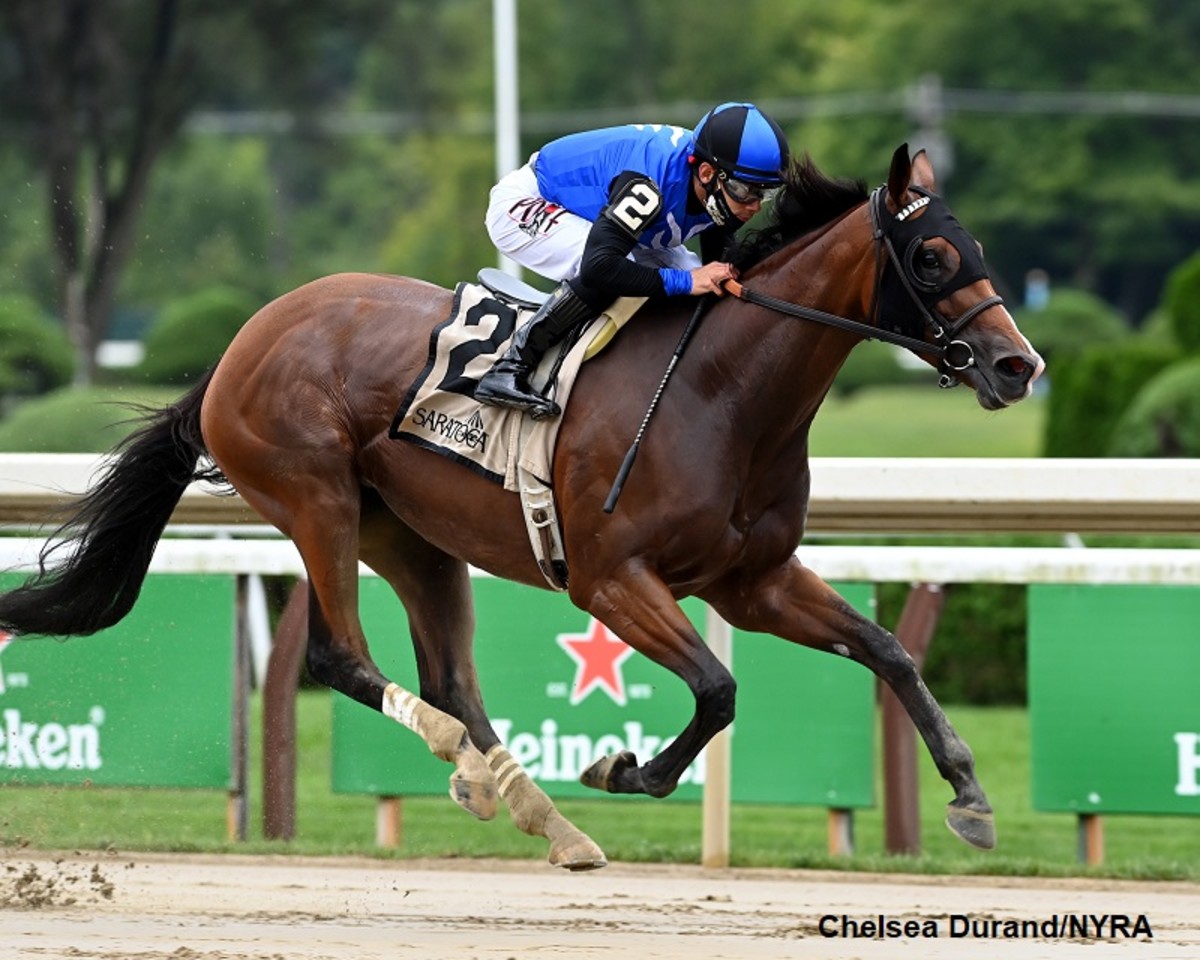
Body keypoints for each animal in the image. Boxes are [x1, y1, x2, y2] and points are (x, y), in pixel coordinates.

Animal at [0, 144, 1041, 870]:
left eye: (981, 247)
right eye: (933, 254)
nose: (1018, 365)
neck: (723, 393)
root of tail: (237, 345)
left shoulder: (754, 581)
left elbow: (888, 650)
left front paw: (969, 794)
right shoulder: (611, 579)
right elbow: (718, 689)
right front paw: (628, 768)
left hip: (413, 537)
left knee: (450, 678)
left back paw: (541, 815)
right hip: (315, 498)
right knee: (344, 657)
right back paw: (472, 767)